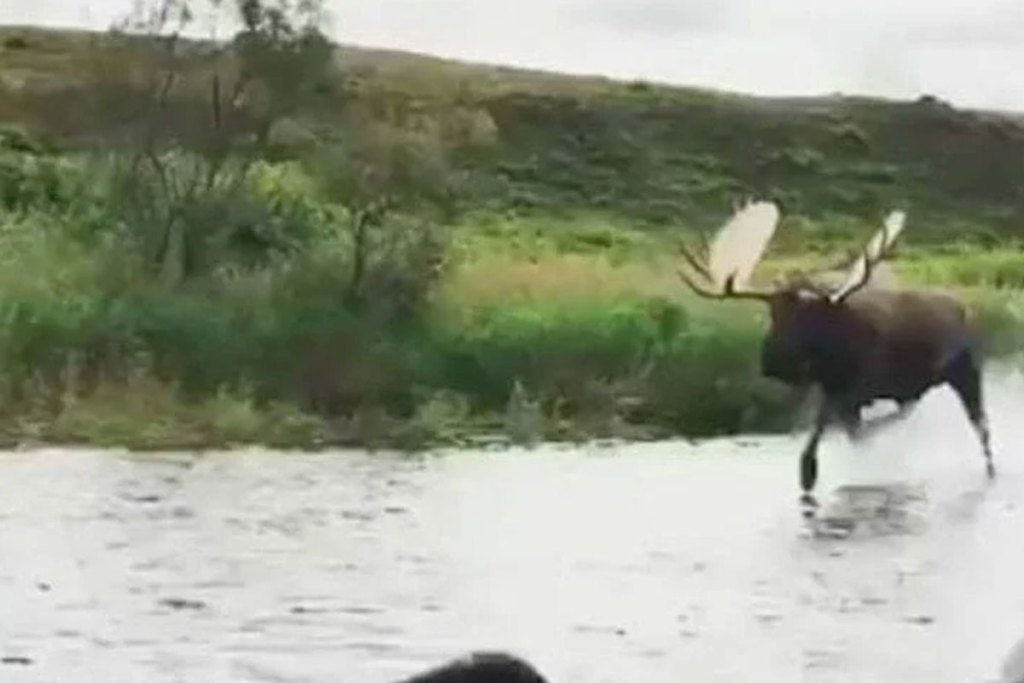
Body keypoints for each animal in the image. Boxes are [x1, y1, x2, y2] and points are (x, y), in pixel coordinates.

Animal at [674, 200, 995, 516]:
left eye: (806, 318)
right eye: (773, 314)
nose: (772, 363)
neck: (835, 353)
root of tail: (964, 310)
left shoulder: (851, 391)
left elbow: (823, 444)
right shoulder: (835, 393)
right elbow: (824, 448)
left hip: (966, 375)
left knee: (982, 430)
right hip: (912, 390)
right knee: (909, 415)